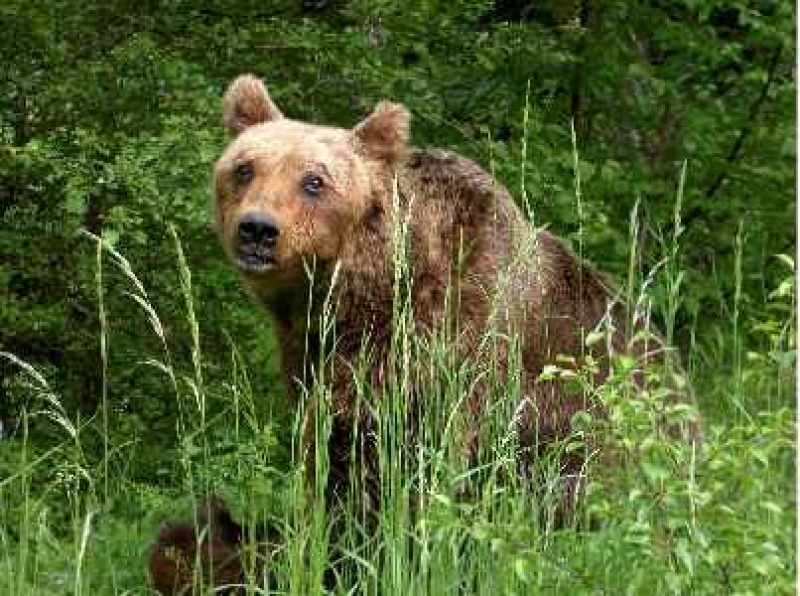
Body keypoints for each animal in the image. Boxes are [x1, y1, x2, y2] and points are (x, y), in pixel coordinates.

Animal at [211, 74, 698, 512]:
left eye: (314, 181)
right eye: (244, 169)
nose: (258, 229)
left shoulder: (457, 341)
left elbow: (432, 456)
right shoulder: (317, 356)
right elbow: (333, 452)